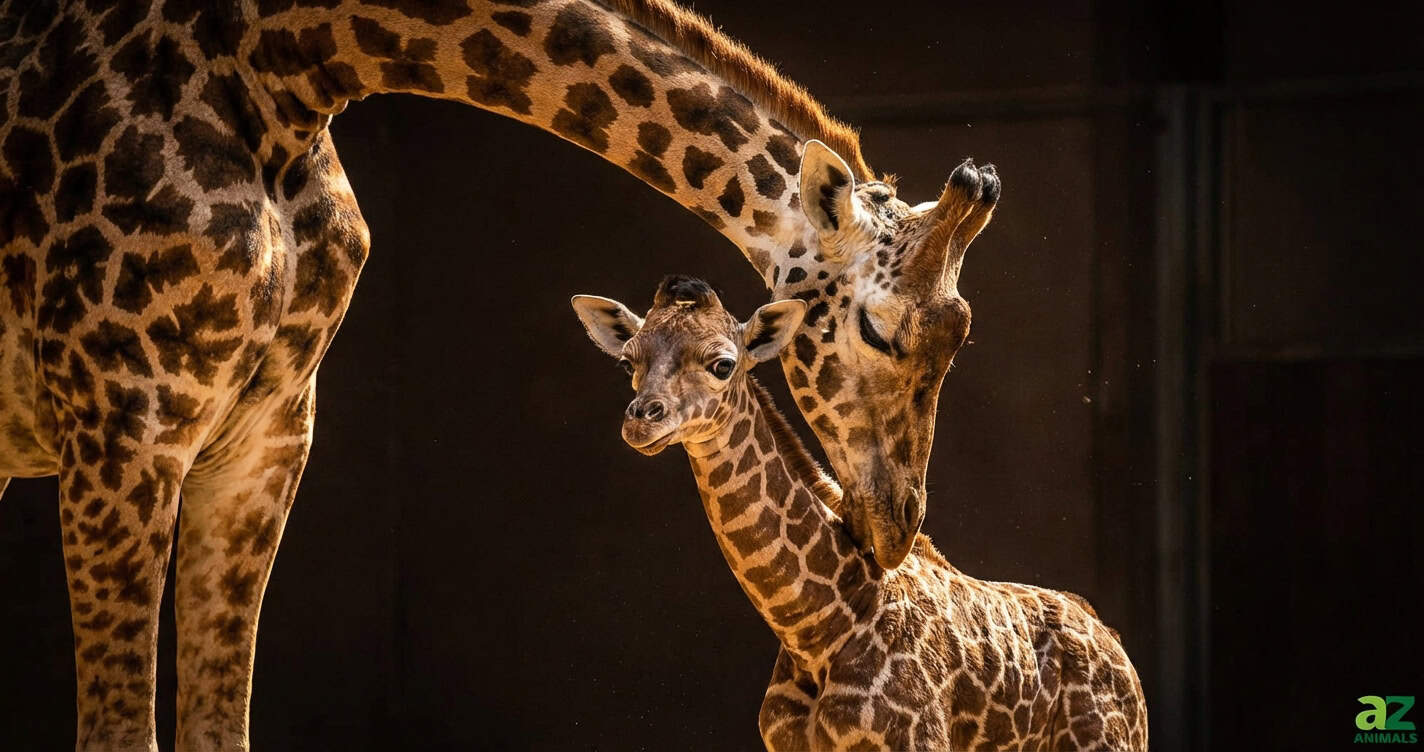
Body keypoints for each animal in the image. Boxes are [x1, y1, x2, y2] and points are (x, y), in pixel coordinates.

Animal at [1, 0, 996, 747]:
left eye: (963, 336)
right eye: (879, 330)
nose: (896, 530)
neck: (283, 63)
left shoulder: (265, 438)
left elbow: (222, 723)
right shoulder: (124, 422)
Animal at [571, 276, 1148, 751]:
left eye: (722, 364)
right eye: (628, 361)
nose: (641, 422)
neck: (816, 629)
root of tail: (1112, 640)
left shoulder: (918, 742)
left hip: (1108, 743)